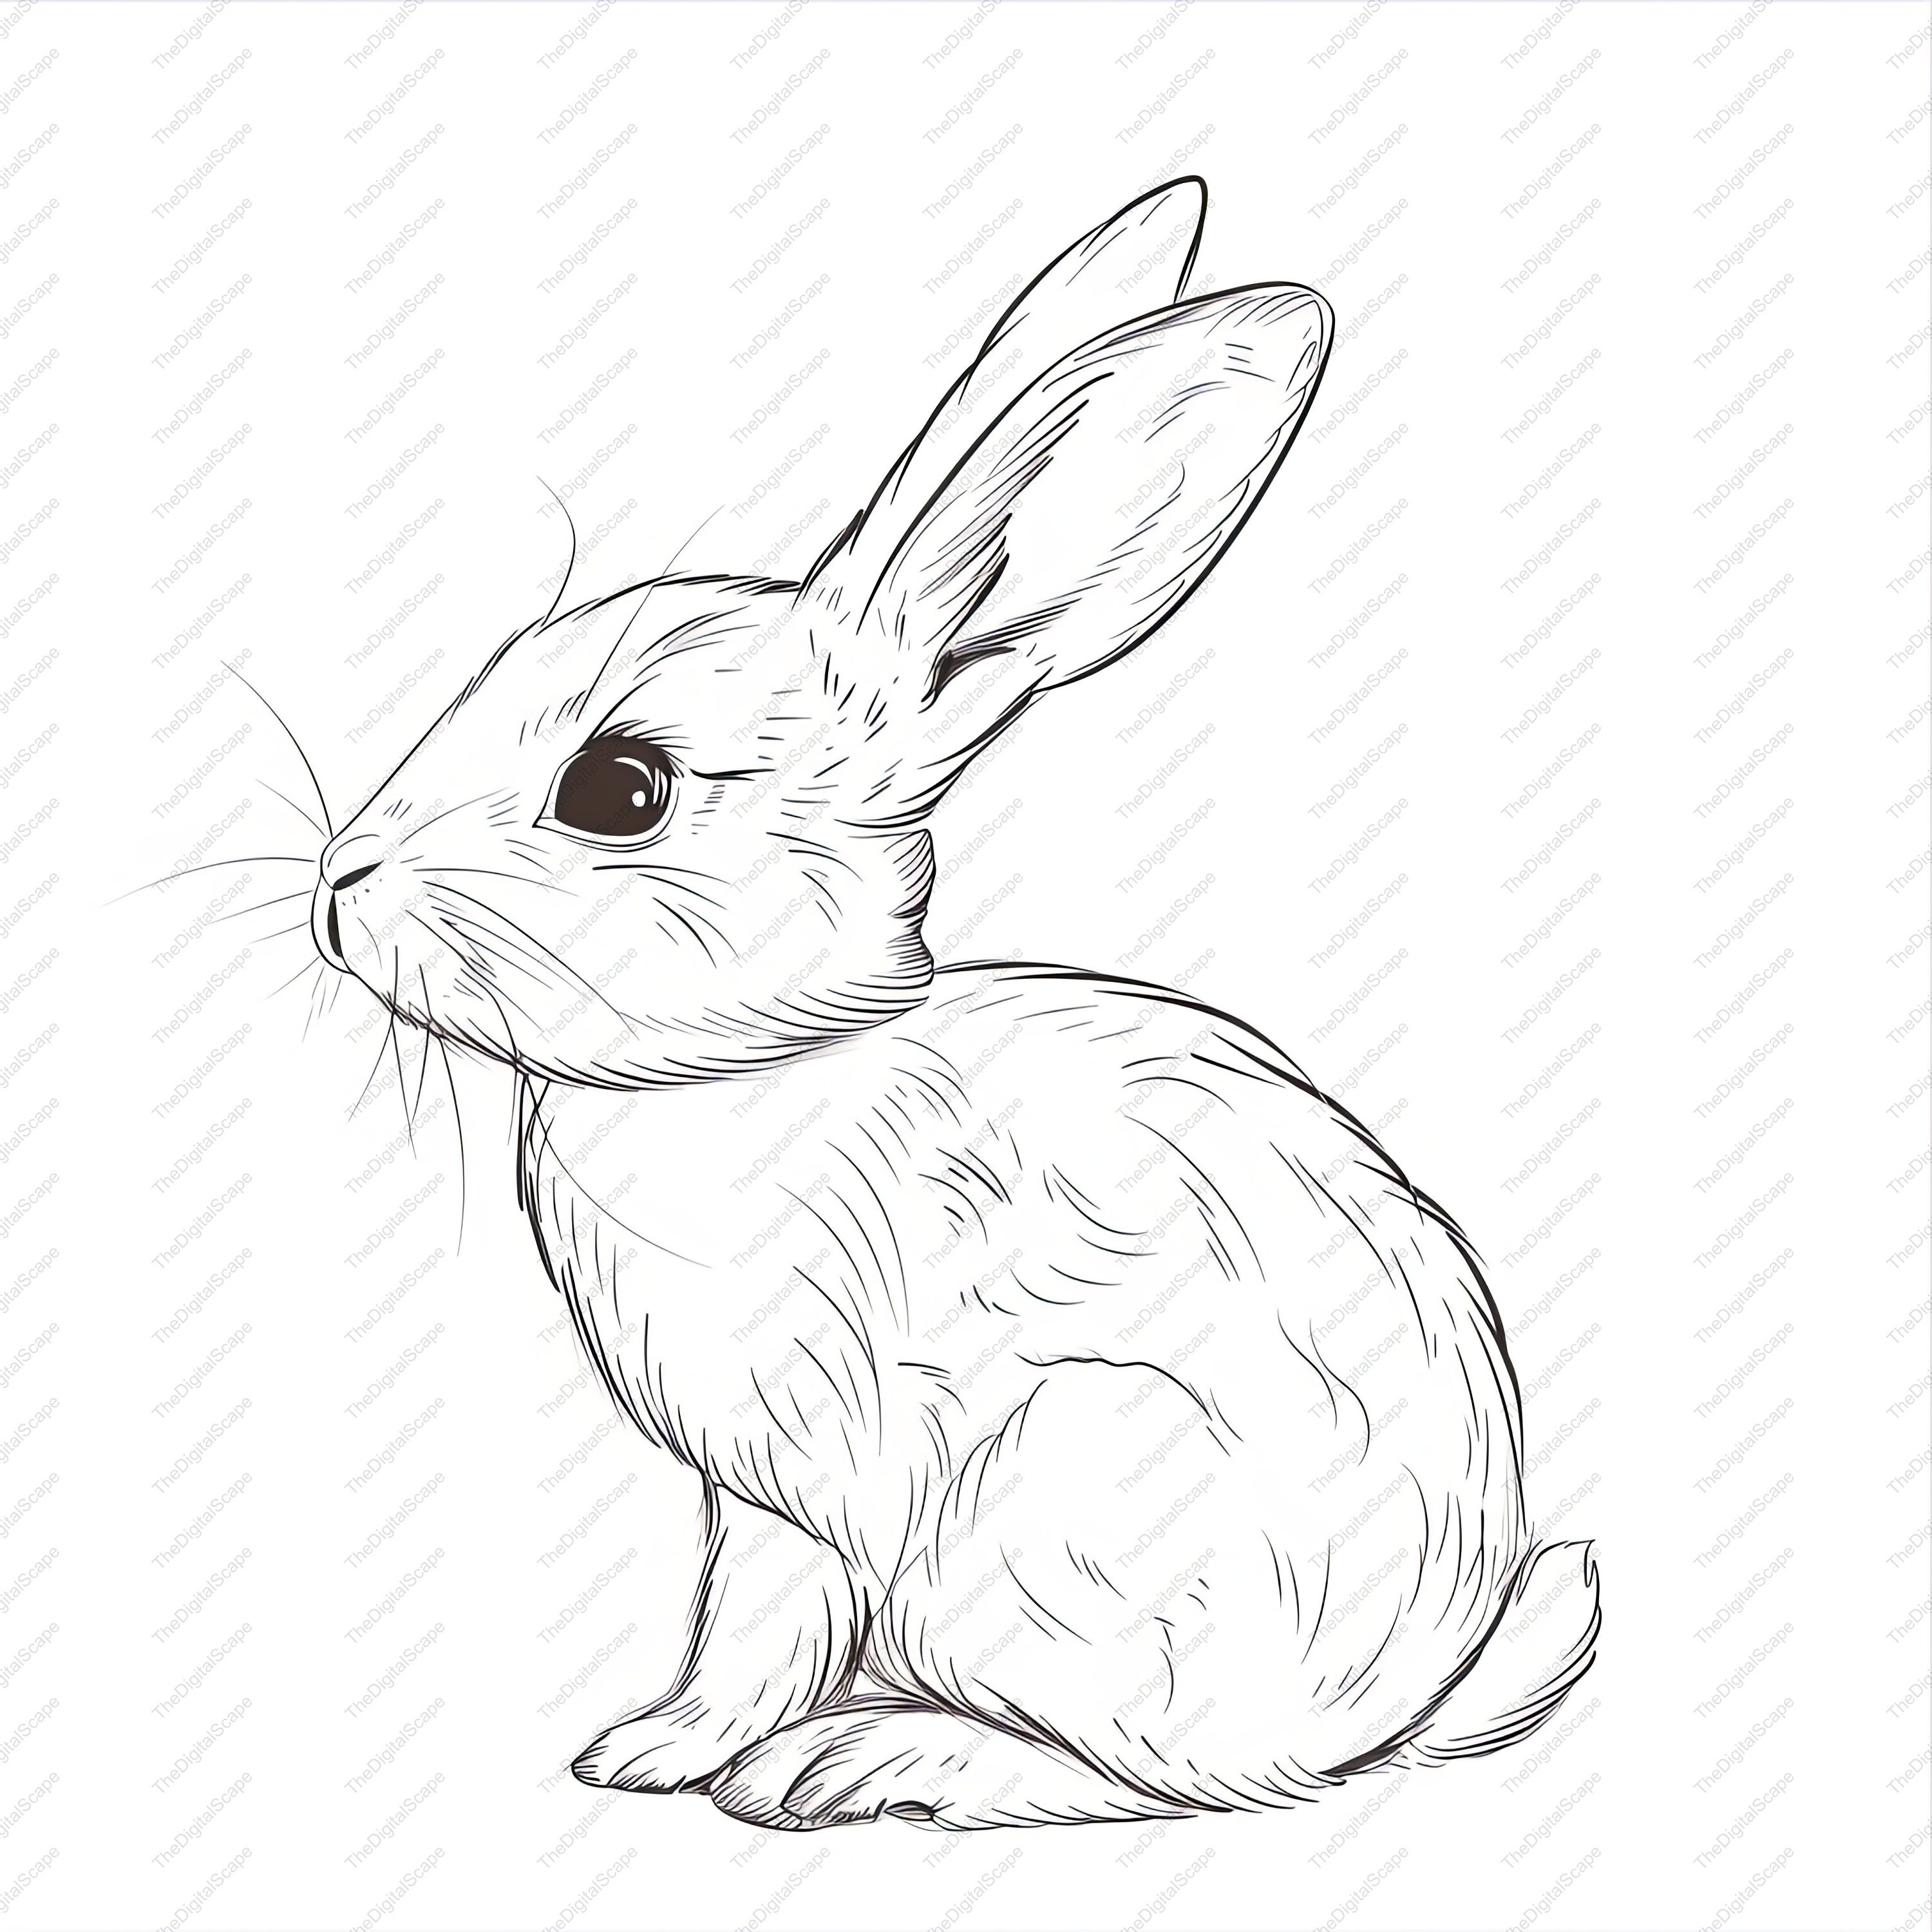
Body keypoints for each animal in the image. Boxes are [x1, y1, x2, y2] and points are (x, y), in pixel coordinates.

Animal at [307, 178, 1600, 1832]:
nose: (340, 892)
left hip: (1066, 1506)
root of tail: (1385, 1713)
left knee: (1165, 1779)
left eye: (620, 789)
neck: (773, 1057)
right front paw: (650, 1749)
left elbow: (764, 1630)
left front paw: (676, 1753)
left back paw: (882, 1761)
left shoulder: (810, 1486)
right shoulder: (757, 1496)